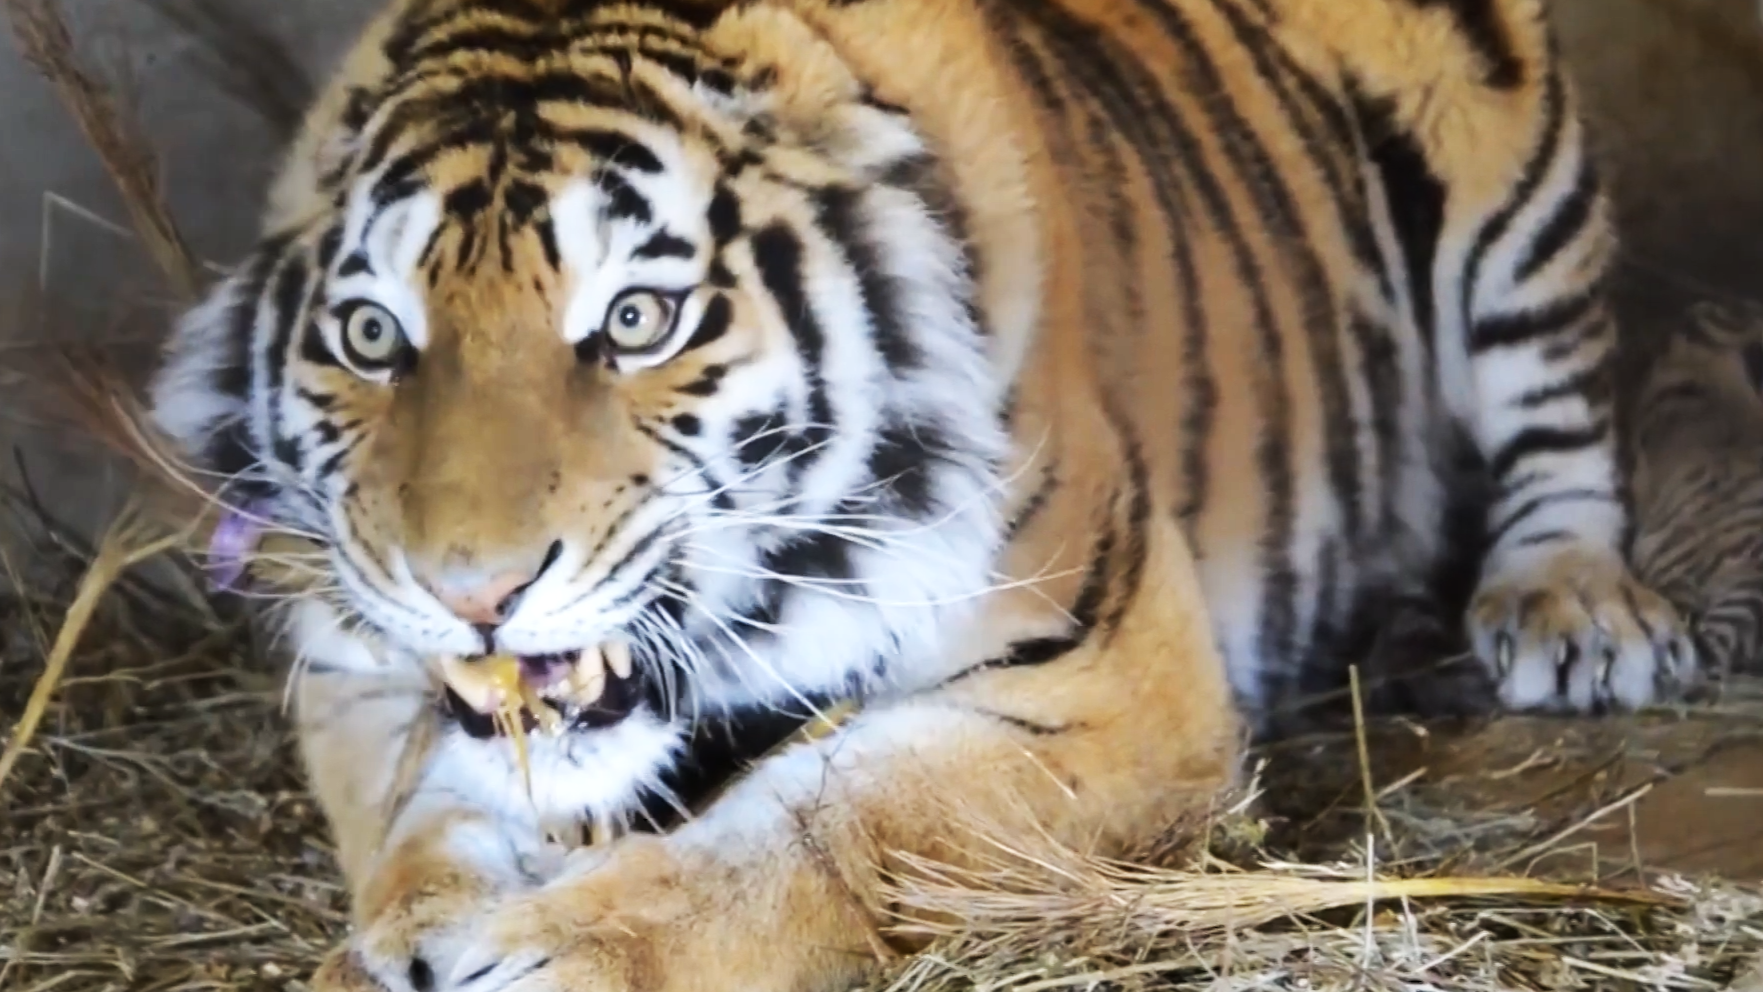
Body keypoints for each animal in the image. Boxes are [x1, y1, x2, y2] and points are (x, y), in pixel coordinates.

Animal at [140, 0, 1698, 989]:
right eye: (371, 336)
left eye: (638, 319)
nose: (474, 592)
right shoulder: (353, 661)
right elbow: (423, 806)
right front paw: (407, 933)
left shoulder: (1102, 683)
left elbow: (833, 820)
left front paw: (557, 948)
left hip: (1501, 160)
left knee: (1557, 416)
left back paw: (1572, 615)